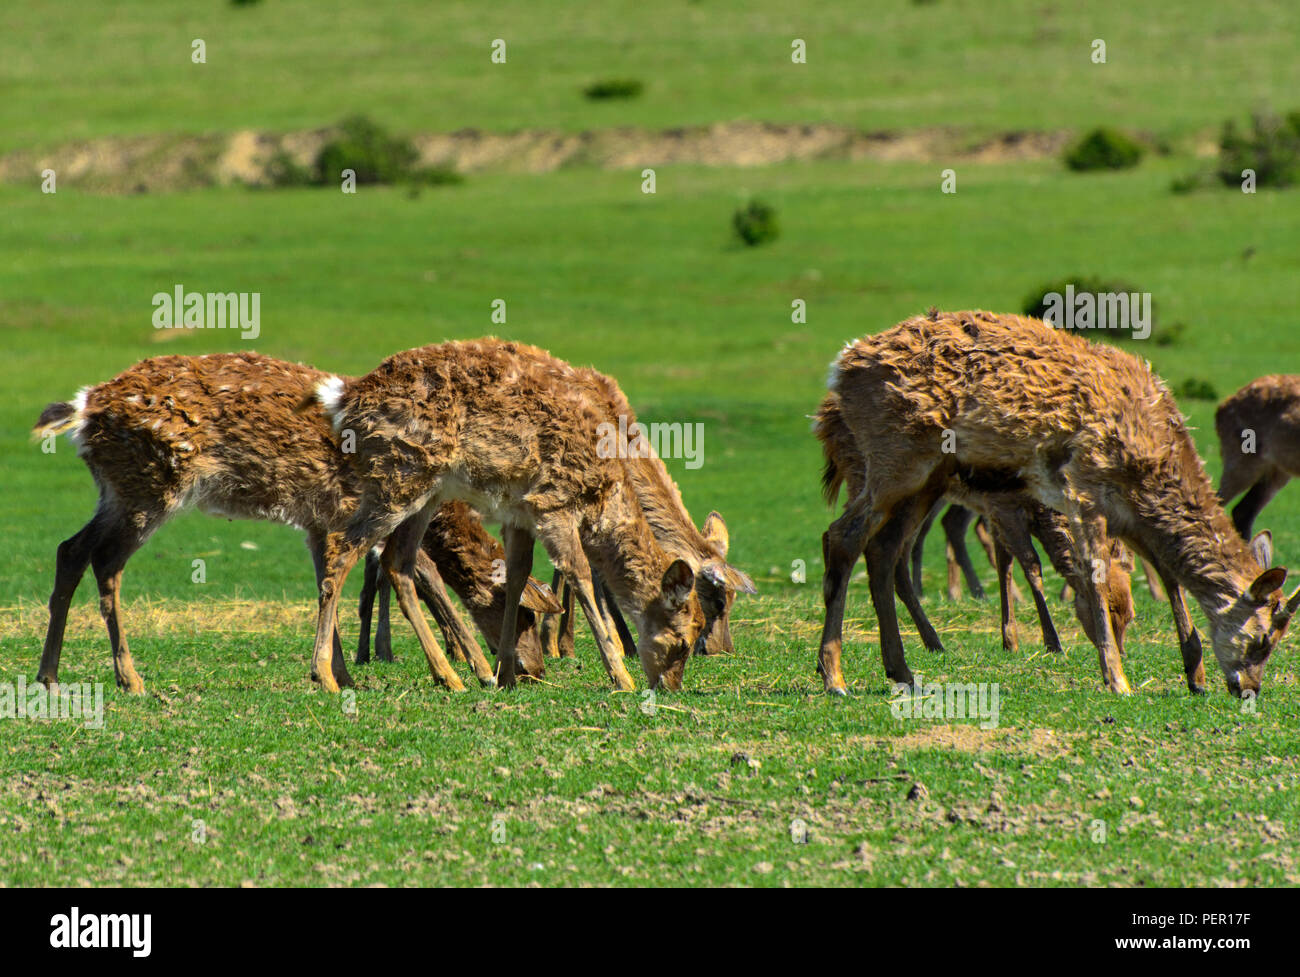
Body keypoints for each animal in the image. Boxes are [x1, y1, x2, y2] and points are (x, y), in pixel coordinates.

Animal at [31, 352, 555, 693]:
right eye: (526, 615)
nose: (536, 670)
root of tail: (83, 409)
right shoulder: (361, 512)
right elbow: (412, 576)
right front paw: (473, 668)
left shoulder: (319, 521)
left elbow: (329, 582)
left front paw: (342, 672)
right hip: (151, 487)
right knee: (106, 560)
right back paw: (130, 678)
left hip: (116, 489)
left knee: (70, 548)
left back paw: (50, 675)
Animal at [300, 339, 753, 694]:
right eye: (683, 638)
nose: (670, 685)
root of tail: (343, 399)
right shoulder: (553, 503)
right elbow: (581, 574)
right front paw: (619, 672)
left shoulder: (520, 513)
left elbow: (517, 575)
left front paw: (506, 674)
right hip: (396, 477)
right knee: (343, 549)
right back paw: (327, 674)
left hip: (426, 491)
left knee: (398, 561)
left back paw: (449, 676)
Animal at [815, 393, 1135, 659]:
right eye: (1105, 608)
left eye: (1131, 612)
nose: (1120, 651)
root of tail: (823, 419)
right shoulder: (1003, 505)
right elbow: (1031, 565)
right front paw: (1052, 642)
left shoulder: (995, 512)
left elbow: (1005, 564)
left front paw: (1010, 639)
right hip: (870, 478)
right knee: (862, 542)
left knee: (870, 546)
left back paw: (931, 640)